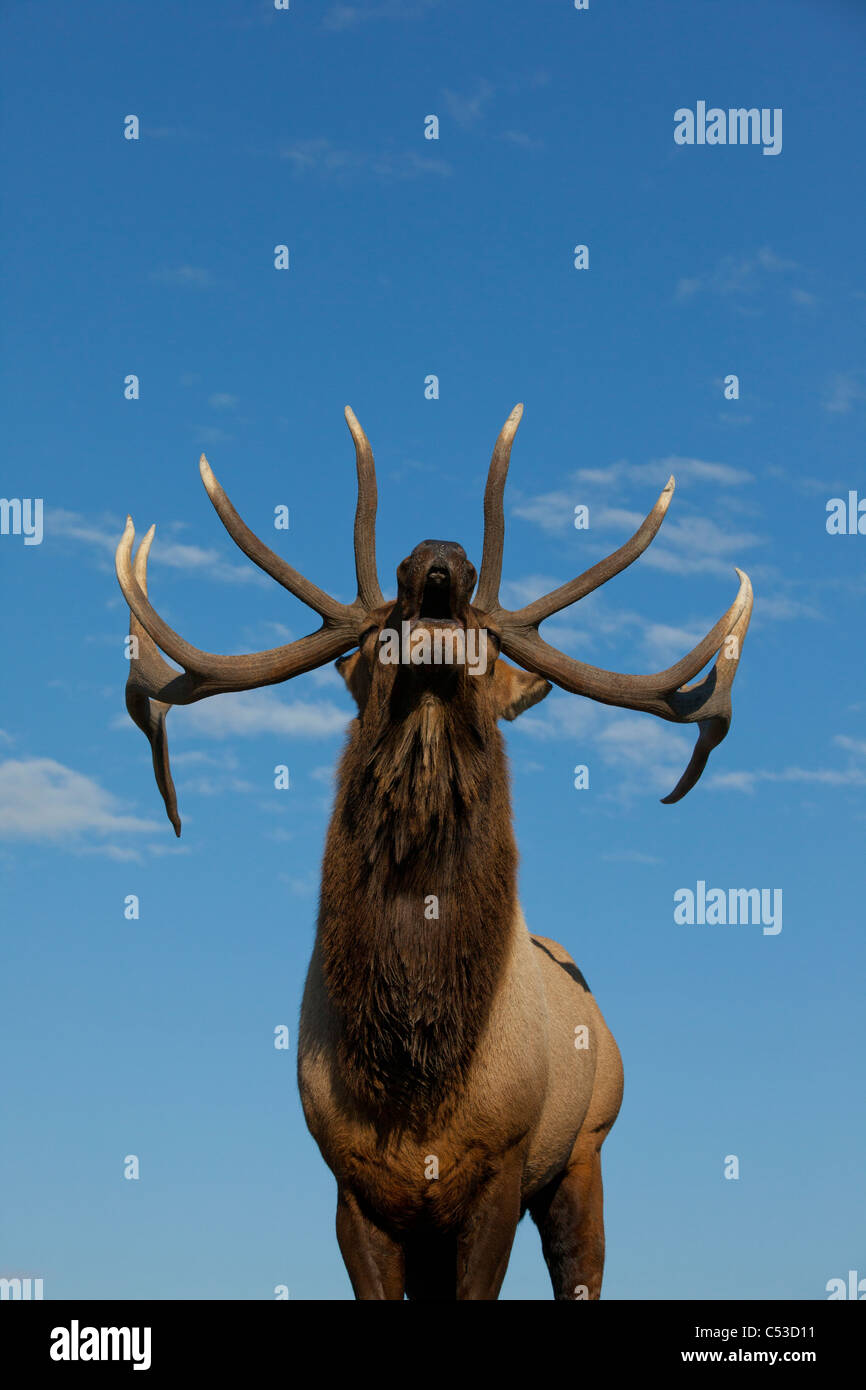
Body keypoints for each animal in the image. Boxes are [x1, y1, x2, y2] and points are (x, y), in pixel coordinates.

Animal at [115, 404, 752, 1300]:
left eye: (489, 658)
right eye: (376, 648)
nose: (438, 562)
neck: (416, 1080)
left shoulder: (501, 1168)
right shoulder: (355, 1187)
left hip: (585, 1148)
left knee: (582, 1267)